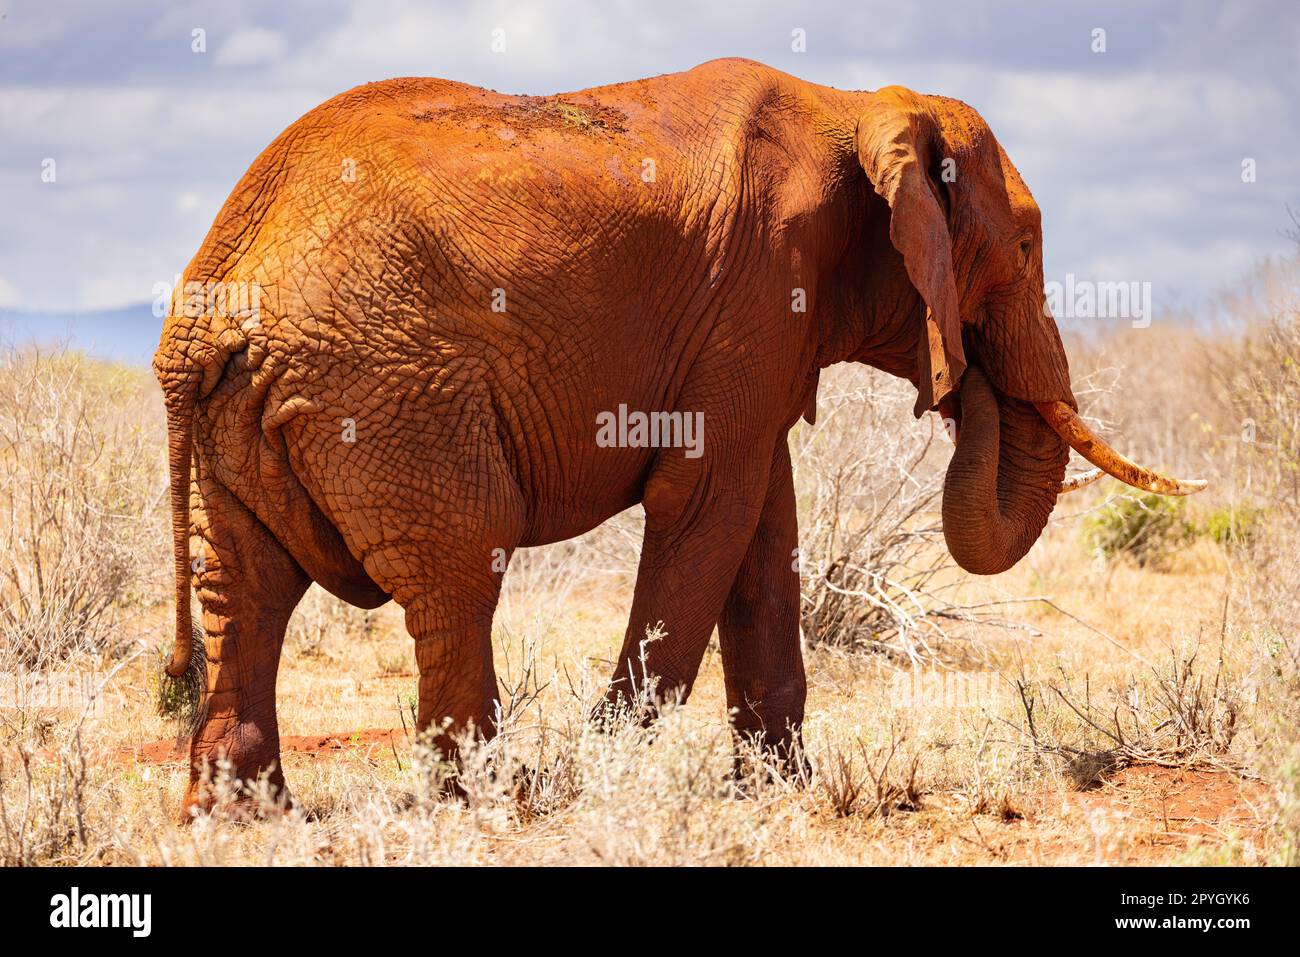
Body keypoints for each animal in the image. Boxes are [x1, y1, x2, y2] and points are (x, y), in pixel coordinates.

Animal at [154, 58, 1203, 816]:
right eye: (1024, 247)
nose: (960, 380)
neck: (859, 106)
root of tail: (206, 307)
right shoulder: (757, 293)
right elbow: (708, 511)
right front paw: (603, 774)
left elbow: (762, 531)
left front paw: (778, 792)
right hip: (390, 390)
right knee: (458, 568)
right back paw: (491, 802)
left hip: (257, 411)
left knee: (246, 587)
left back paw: (244, 815)